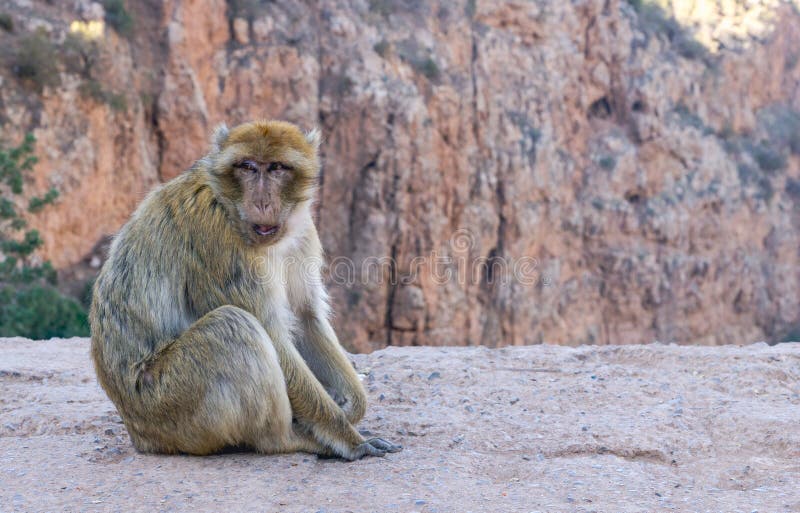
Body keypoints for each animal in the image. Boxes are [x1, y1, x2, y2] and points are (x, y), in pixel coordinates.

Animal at [89, 120, 401, 460]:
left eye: (277, 168)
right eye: (247, 167)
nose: (262, 201)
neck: (228, 204)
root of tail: (140, 434)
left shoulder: (303, 234)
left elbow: (305, 318)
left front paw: (351, 404)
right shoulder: (219, 241)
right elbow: (274, 337)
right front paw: (348, 437)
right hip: (167, 404)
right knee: (233, 326)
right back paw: (288, 439)